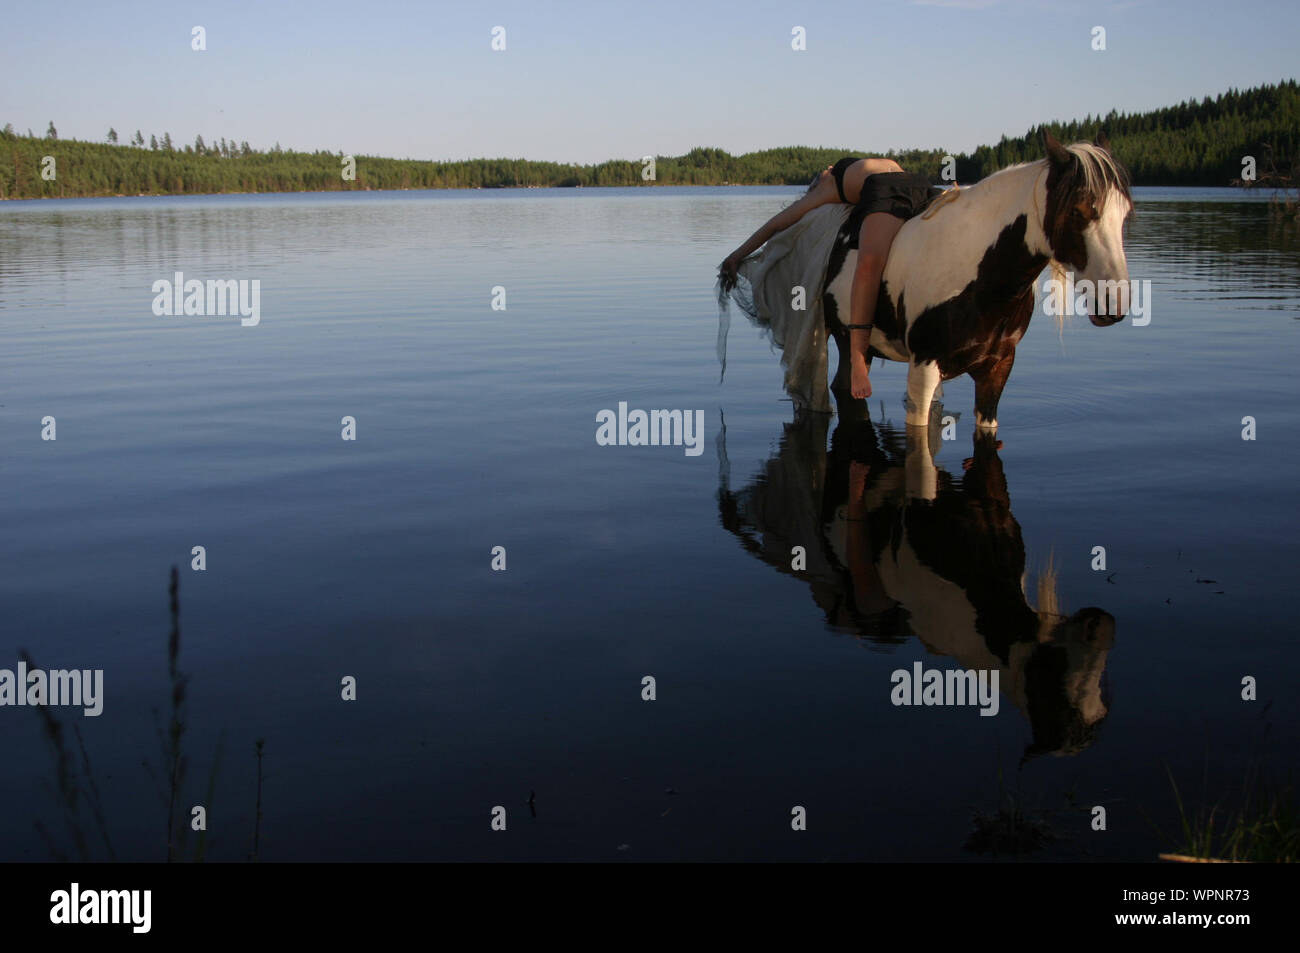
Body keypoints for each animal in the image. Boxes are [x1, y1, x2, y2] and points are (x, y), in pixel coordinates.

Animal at [725, 132, 1133, 428]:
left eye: (1126, 212)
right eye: (1079, 210)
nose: (1113, 304)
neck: (975, 270)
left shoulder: (998, 368)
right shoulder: (923, 369)